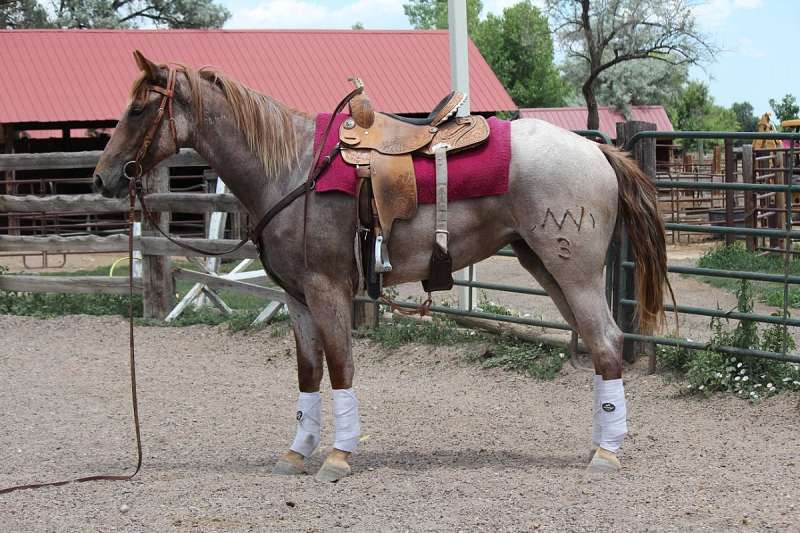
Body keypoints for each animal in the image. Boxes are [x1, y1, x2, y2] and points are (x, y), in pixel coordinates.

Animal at [93, 51, 669, 482]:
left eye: (140, 109)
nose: (103, 177)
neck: (293, 170)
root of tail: (599, 153)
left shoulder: (327, 289)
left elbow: (341, 367)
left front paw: (338, 455)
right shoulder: (296, 297)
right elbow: (308, 372)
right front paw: (297, 451)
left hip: (574, 272)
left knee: (607, 343)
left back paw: (606, 454)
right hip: (548, 269)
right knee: (597, 345)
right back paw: (602, 444)